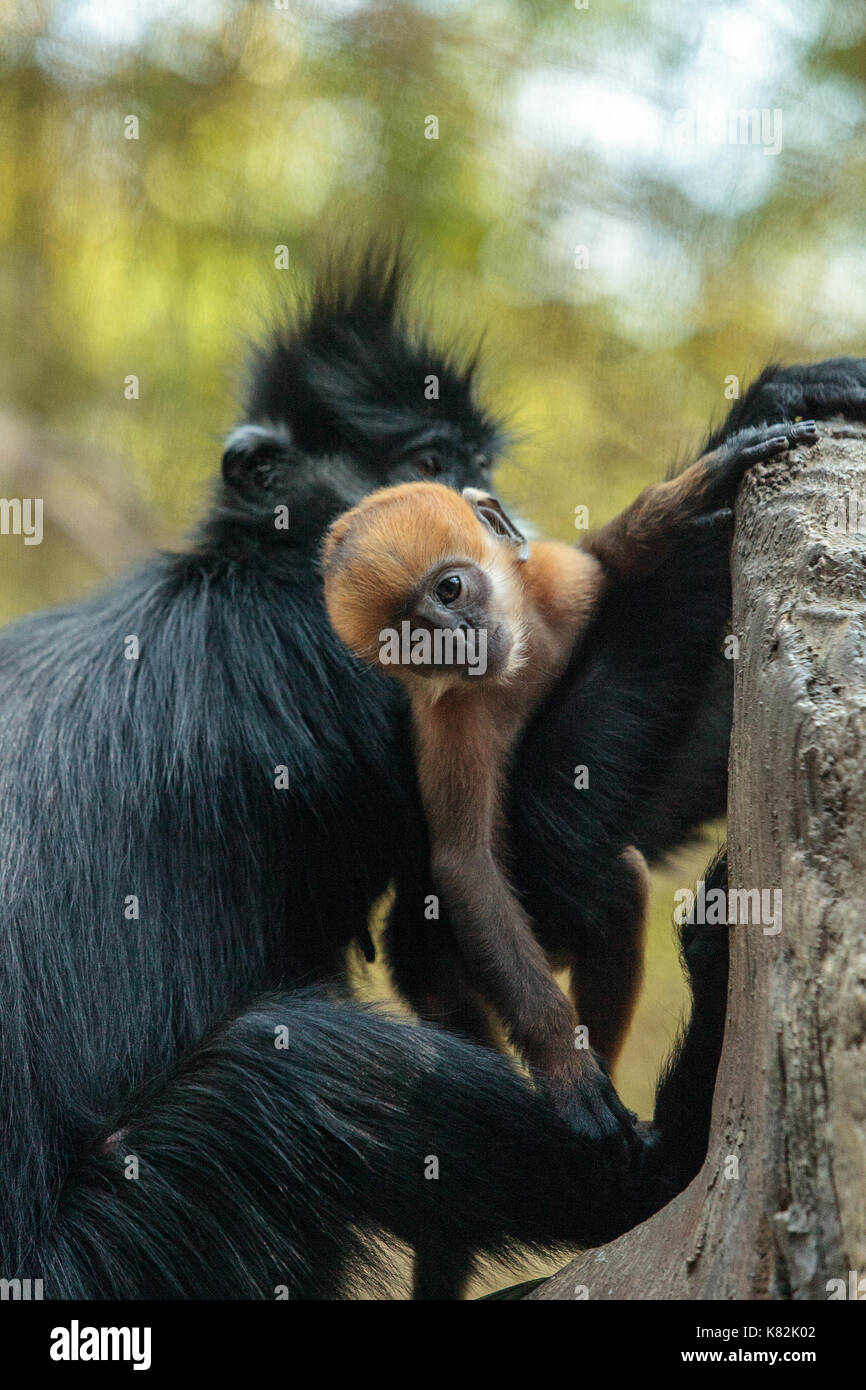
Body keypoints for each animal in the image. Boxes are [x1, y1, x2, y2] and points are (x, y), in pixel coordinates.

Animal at [322, 418, 818, 1127]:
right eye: (416, 642)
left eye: (450, 590)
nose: (458, 640)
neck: (525, 658)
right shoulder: (455, 724)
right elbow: (466, 865)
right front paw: (565, 1068)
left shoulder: (566, 583)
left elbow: (608, 556)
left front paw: (702, 483)